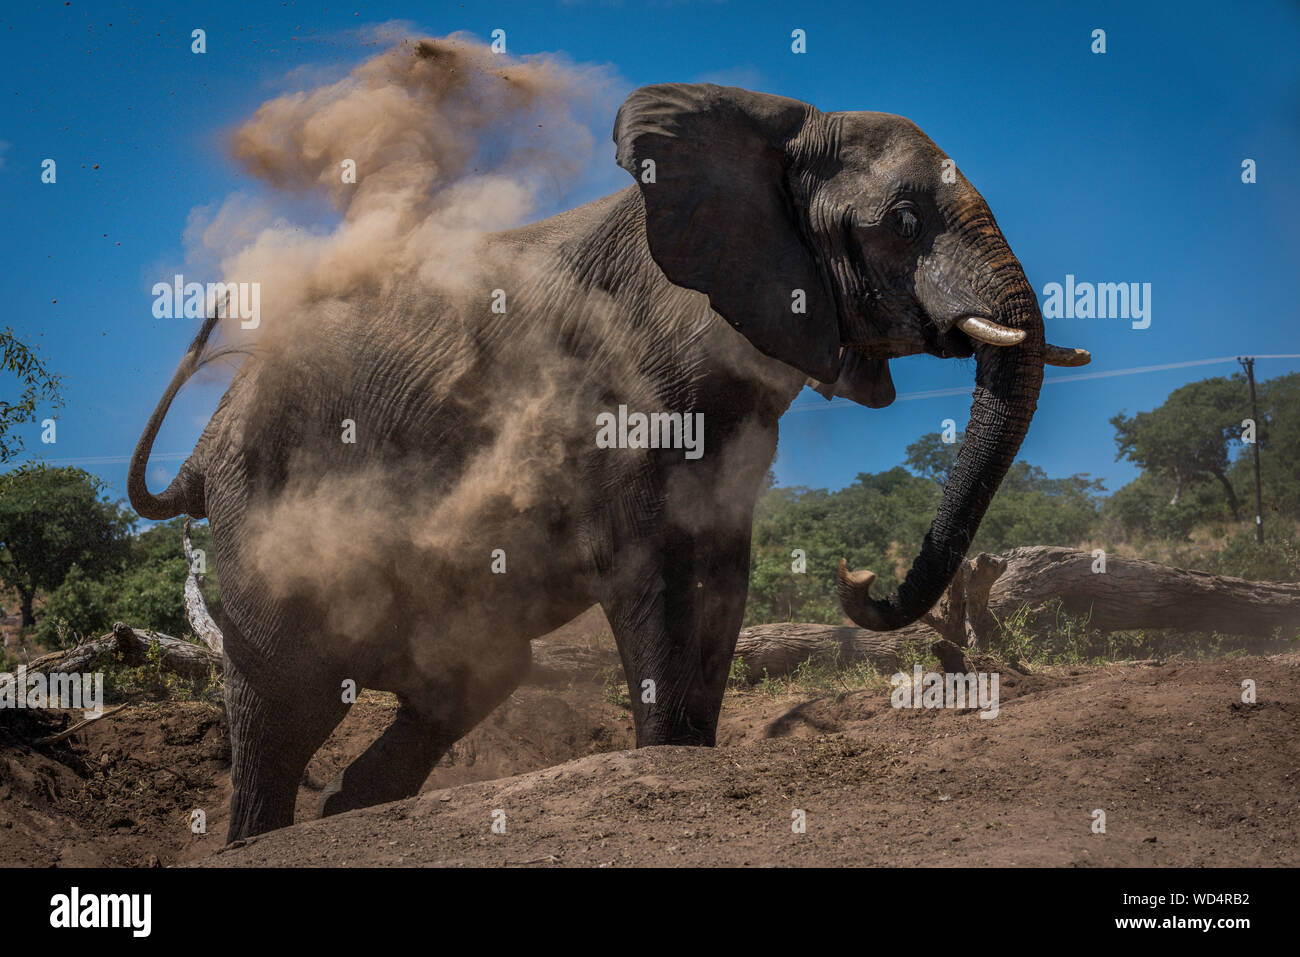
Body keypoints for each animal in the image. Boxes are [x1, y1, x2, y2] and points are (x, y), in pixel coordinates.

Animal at [129, 82, 1088, 842]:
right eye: (901, 223)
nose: (857, 578)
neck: (770, 131)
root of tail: (200, 453)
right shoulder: (618, 404)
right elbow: (651, 580)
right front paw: (666, 755)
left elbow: (722, 580)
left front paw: (693, 752)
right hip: (266, 504)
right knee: (281, 695)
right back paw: (260, 834)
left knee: (469, 673)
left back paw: (348, 812)